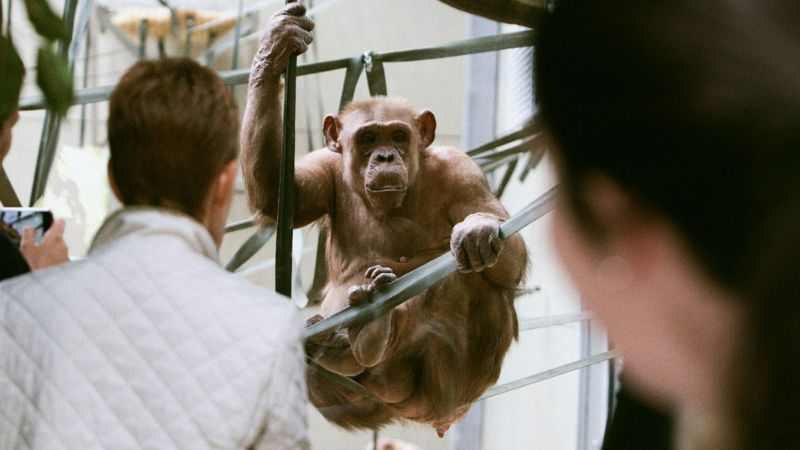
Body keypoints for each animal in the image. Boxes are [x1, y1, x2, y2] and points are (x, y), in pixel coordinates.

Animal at [241, 3, 528, 436]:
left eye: (397, 136)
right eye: (368, 139)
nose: (385, 156)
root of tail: (431, 416)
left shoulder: (461, 171)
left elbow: (504, 249)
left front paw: (478, 229)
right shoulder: (324, 168)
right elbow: (277, 195)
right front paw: (276, 45)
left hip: (448, 390)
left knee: (469, 281)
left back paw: (368, 332)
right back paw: (348, 338)